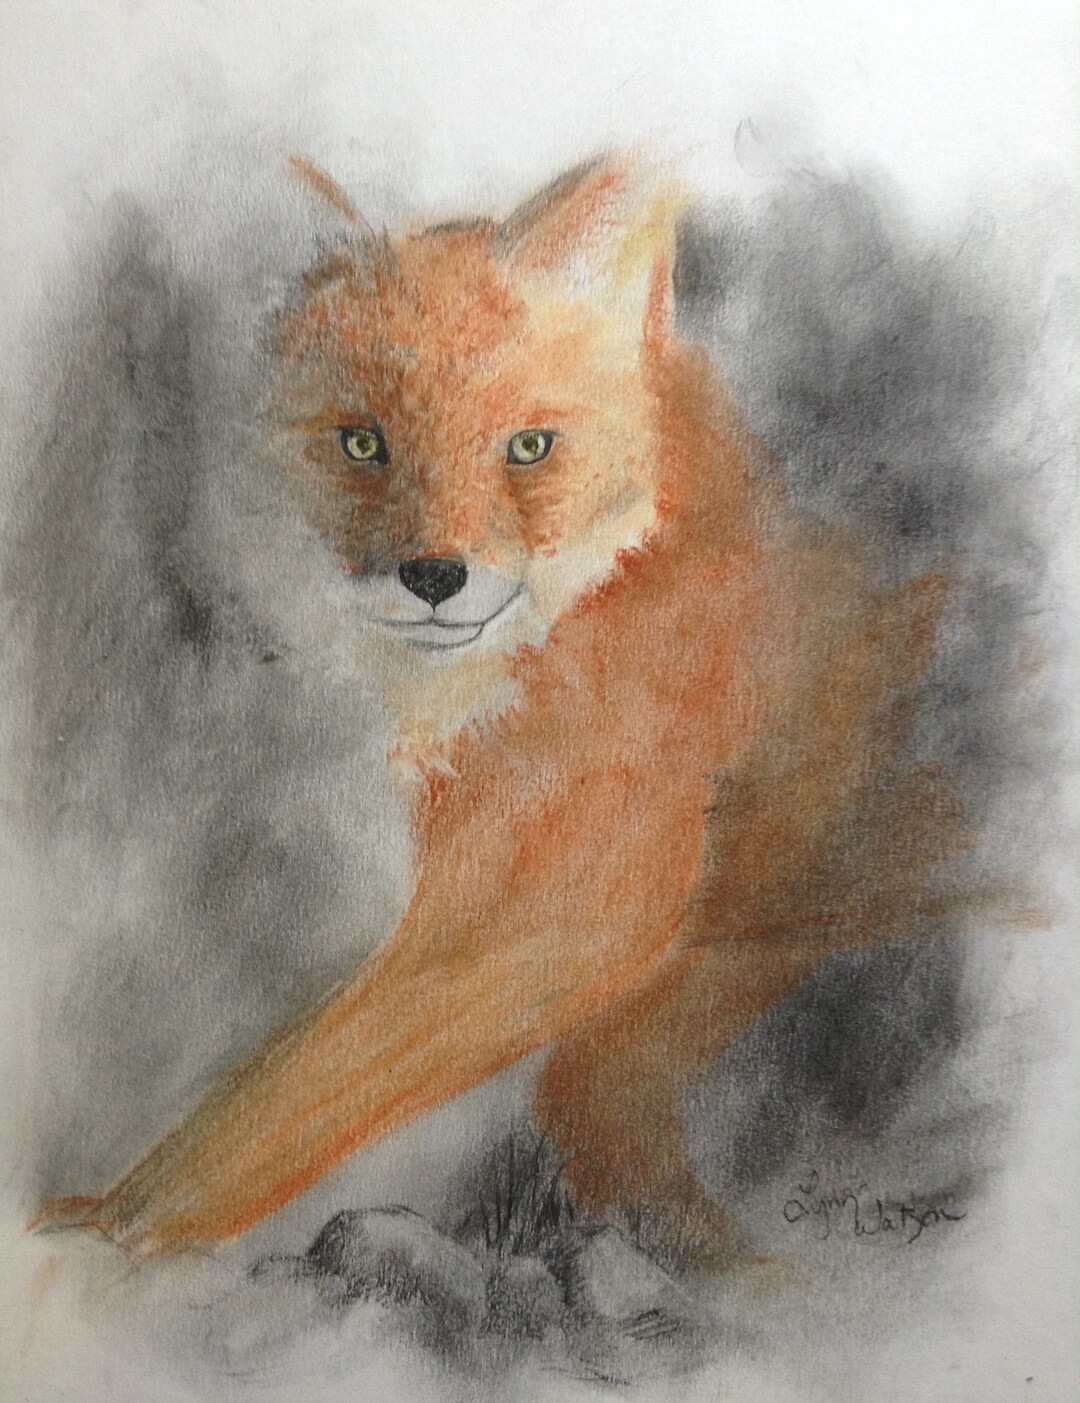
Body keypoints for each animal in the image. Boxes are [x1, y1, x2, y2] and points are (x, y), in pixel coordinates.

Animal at [32, 155, 971, 1265]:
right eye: (363, 444)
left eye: (527, 447)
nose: (435, 575)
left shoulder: (567, 911)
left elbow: (286, 1097)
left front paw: (115, 1231)